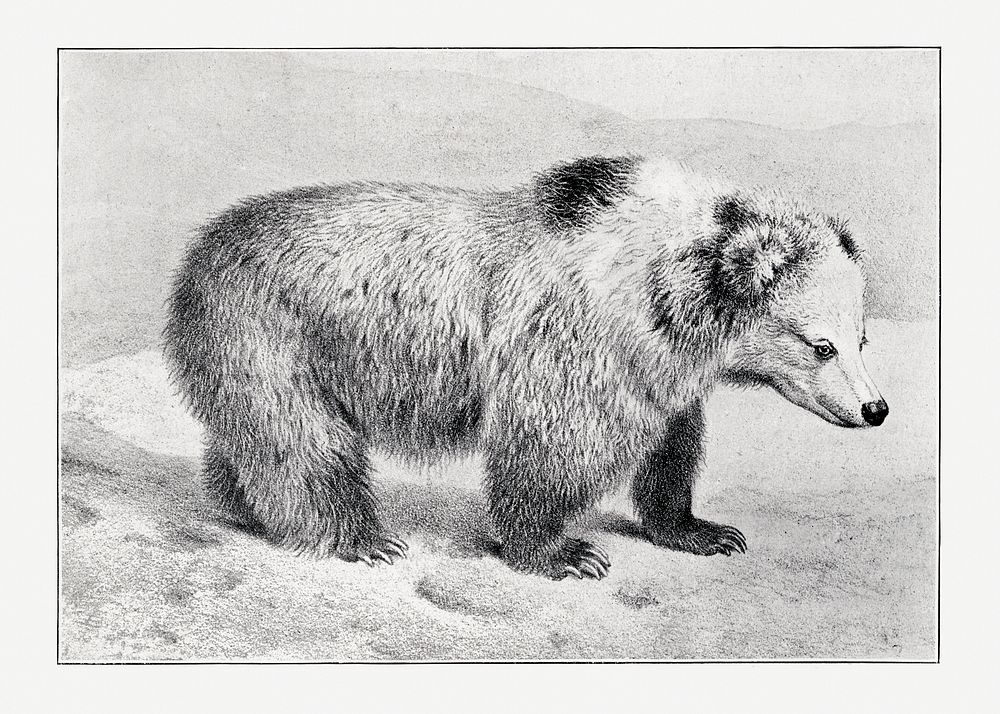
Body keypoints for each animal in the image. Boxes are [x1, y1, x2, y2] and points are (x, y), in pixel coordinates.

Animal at [163, 155, 888, 580]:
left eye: (862, 337)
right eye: (820, 344)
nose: (875, 408)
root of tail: (203, 243)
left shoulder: (660, 369)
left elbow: (672, 446)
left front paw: (705, 530)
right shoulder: (577, 339)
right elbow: (554, 446)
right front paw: (566, 551)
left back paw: (241, 503)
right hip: (272, 332)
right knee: (306, 443)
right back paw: (361, 537)